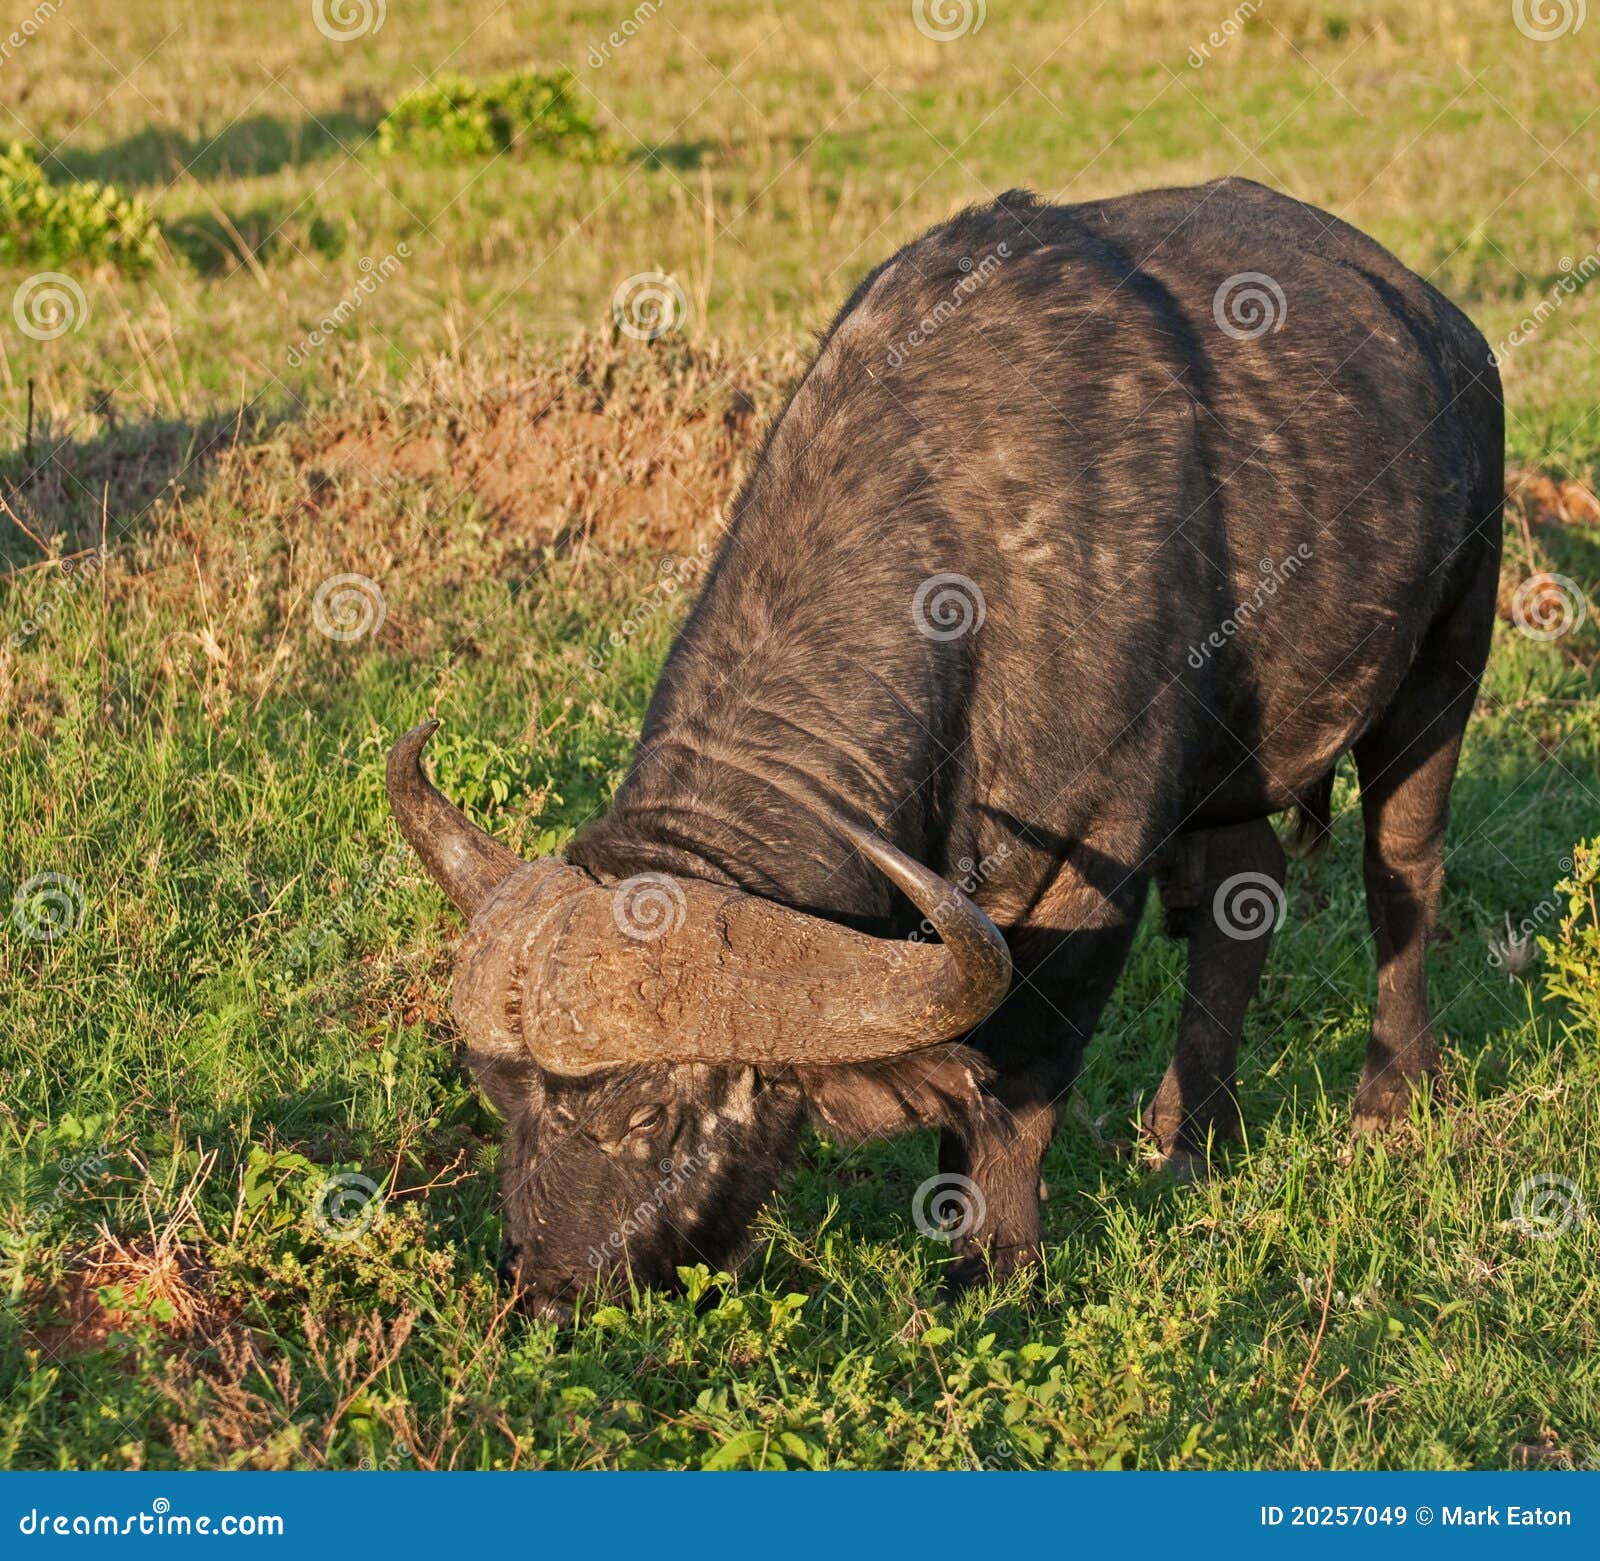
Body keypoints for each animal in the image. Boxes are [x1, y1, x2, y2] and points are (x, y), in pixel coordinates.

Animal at [388, 178, 1502, 1320]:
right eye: (498, 1094)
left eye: (649, 1115)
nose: (545, 1293)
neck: (968, 561)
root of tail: (1442, 326)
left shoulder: (1085, 863)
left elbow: (1020, 1069)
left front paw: (993, 1262)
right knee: (1247, 885)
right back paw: (1185, 1136)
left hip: (1446, 657)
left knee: (1399, 870)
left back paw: (1390, 1096)